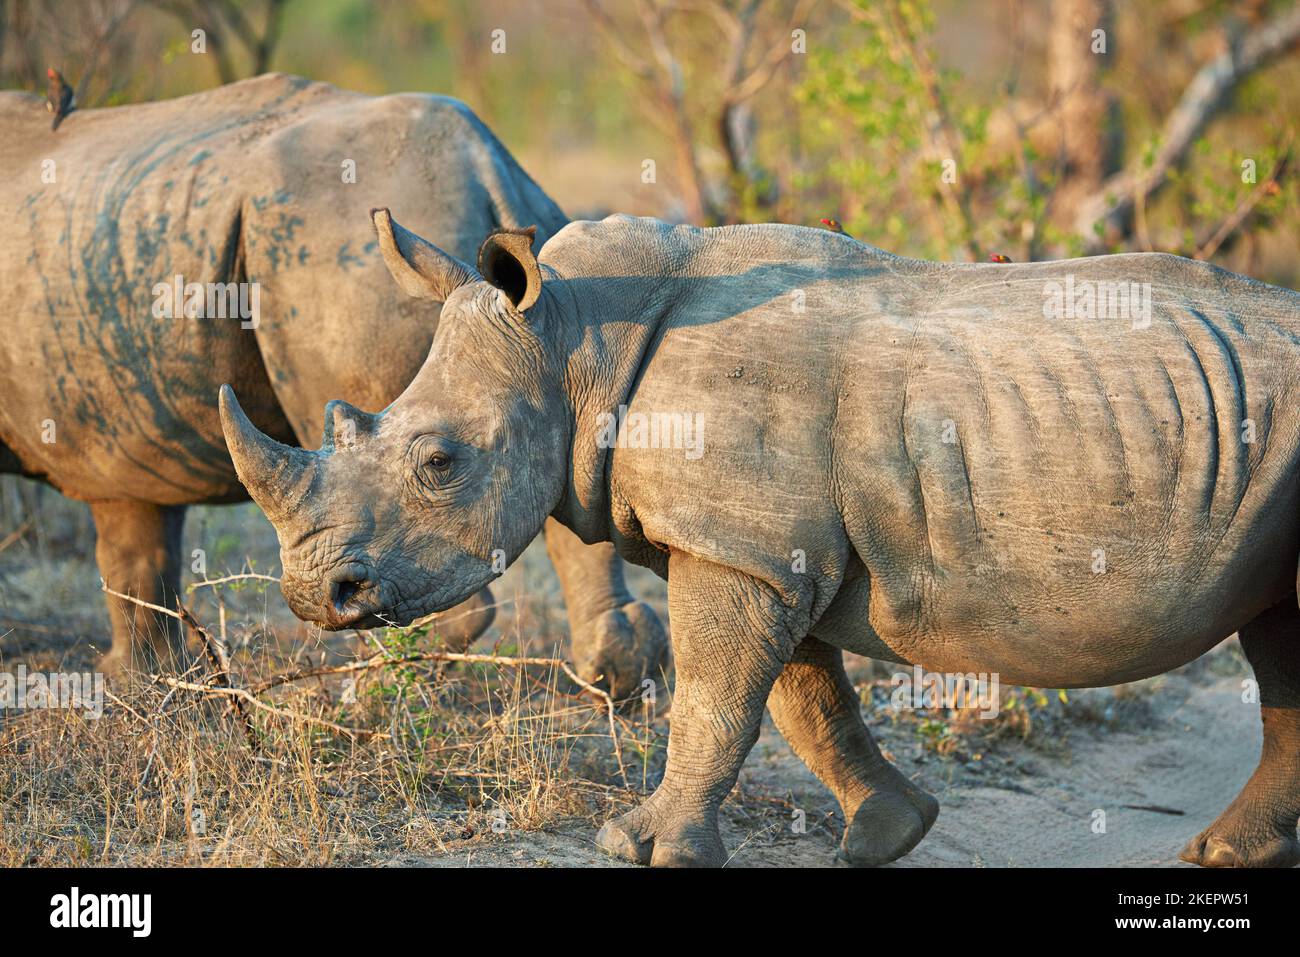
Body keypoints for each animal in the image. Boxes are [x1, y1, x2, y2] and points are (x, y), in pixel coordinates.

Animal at [0, 74, 665, 694]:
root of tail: (486, 165)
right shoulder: (122, 434)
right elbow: (137, 544)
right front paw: (143, 681)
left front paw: (133, 683)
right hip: (545, 264)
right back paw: (615, 678)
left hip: (331, 256)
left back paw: (376, 688)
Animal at [221, 208, 1300, 868]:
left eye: (439, 462)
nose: (317, 595)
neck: (574, 337)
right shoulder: (761, 545)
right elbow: (802, 701)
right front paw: (889, 834)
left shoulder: (738, 547)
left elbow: (714, 701)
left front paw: (639, 845)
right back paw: (1226, 853)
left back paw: (1214, 853)